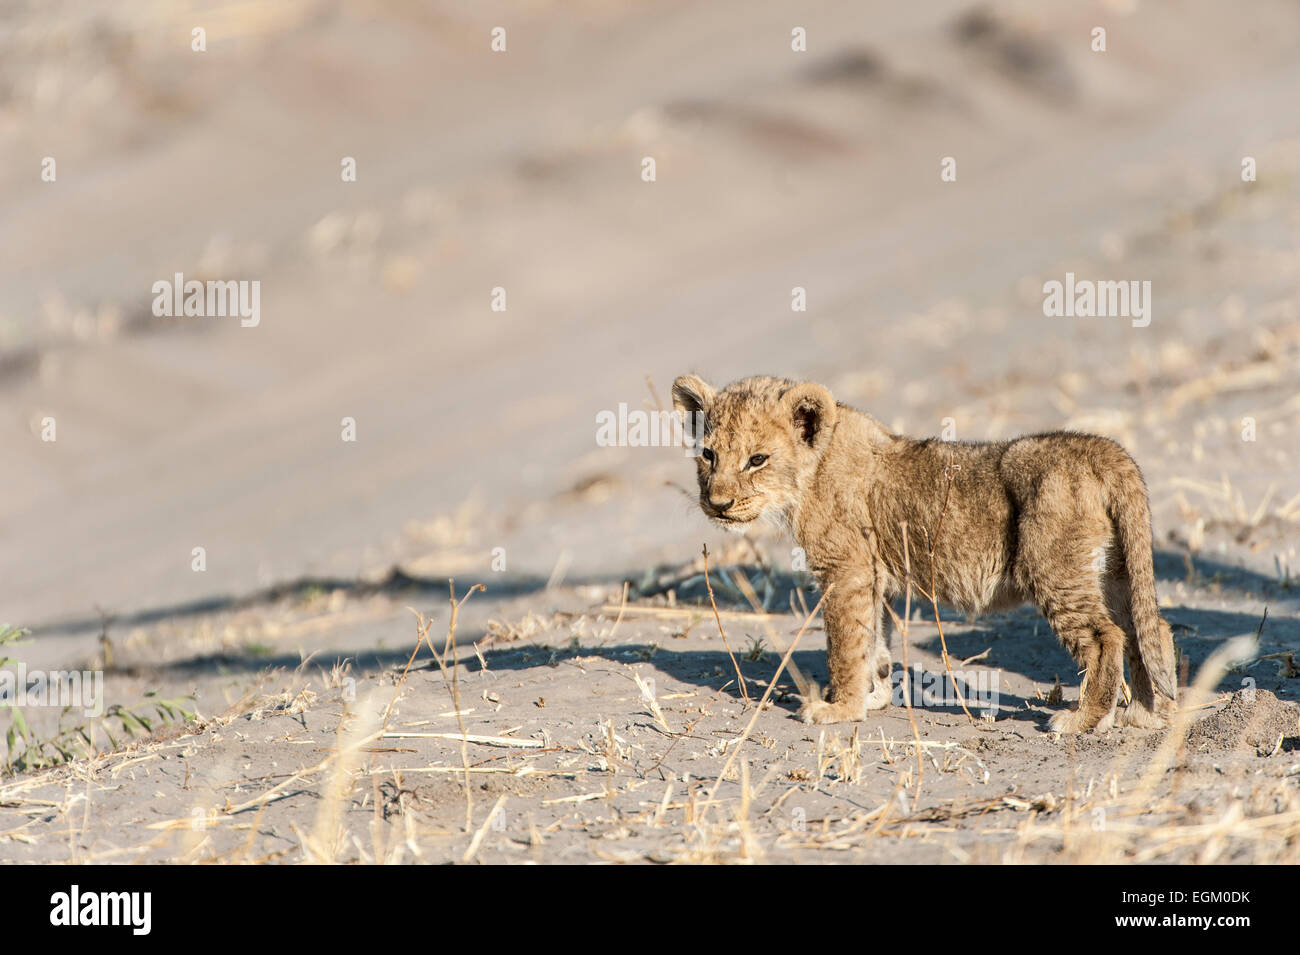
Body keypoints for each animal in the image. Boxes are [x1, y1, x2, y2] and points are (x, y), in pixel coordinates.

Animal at [671, 374, 1178, 733]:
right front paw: (873, 697)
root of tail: (1103, 449)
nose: (717, 503)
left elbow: (844, 645)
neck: (812, 469)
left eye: (757, 459)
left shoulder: (846, 569)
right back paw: (1148, 715)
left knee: (1106, 636)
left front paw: (840, 709)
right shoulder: (874, 576)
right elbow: (873, 640)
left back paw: (1083, 720)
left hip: (1054, 568)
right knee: (1150, 628)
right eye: (709, 455)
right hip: (1113, 569)